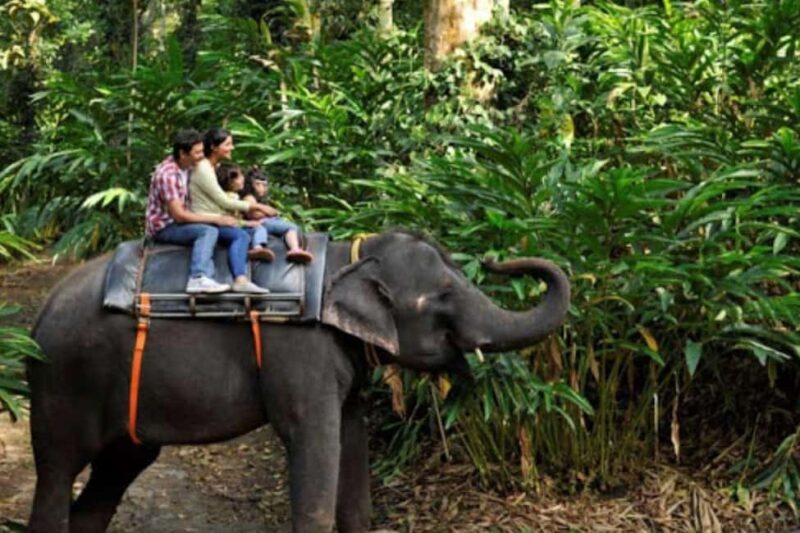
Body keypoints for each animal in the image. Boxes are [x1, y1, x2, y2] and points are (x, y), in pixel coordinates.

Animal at [26, 230, 570, 532]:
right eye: (441, 297)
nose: (498, 257)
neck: (347, 258)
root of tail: (39, 315)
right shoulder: (299, 352)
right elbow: (313, 442)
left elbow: (351, 443)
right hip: (63, 383)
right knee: (57, 474)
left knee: (114, 475)